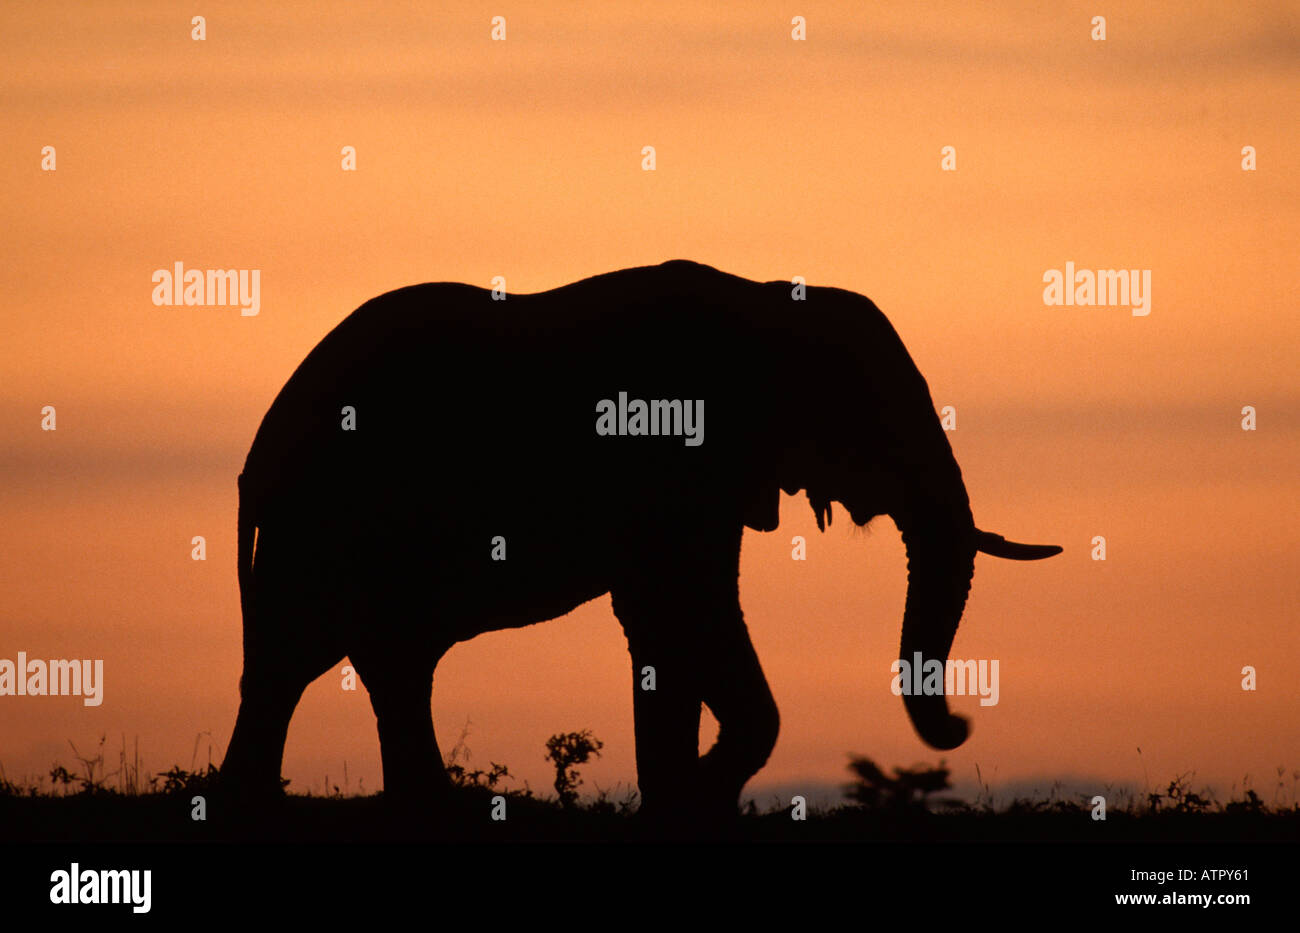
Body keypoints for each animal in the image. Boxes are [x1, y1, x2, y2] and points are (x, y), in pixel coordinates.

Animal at [218, 259, 1061, 824]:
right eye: (873, 418)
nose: (961, 725)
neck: (771, 301)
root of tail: (258, 444)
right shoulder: (676, 452)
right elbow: (686, 606)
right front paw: (694, 796)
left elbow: (664, 624)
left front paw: (678, 801)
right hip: (328, 521)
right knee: (320, 654)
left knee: (355, 660)